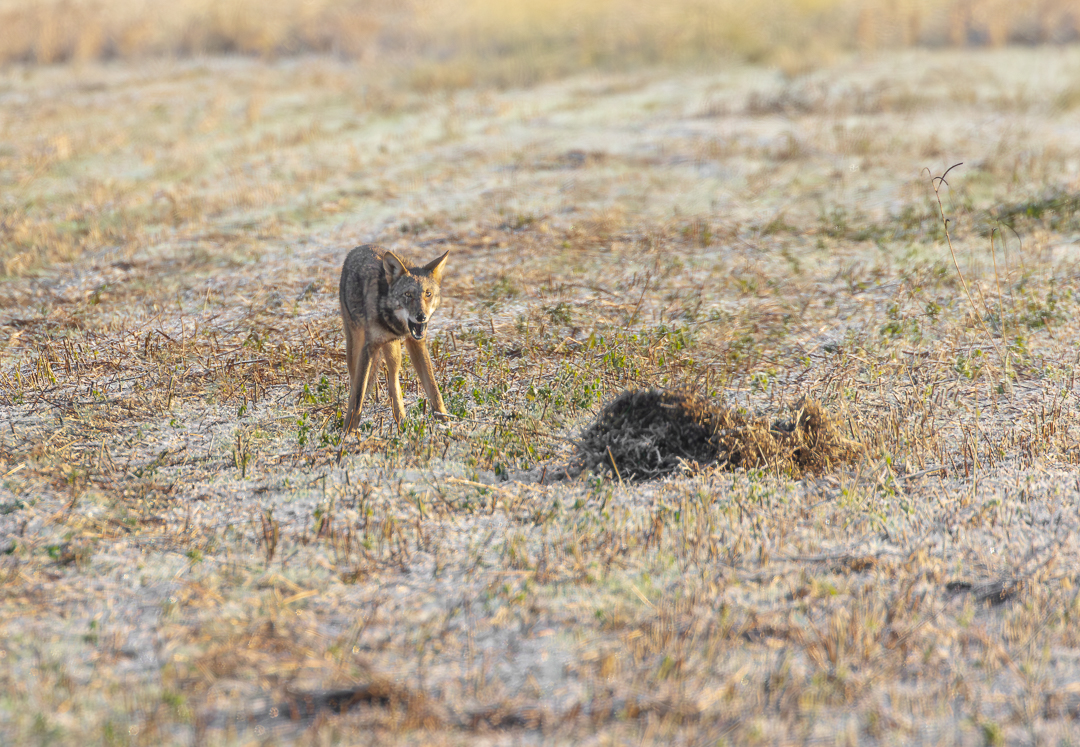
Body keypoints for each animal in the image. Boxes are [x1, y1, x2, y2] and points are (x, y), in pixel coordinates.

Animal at [338, 244, 450, 433]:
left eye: (427, 294)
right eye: (407, 294)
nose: (421, 316)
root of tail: (359, 247)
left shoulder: (417, 343)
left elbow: (433, 389)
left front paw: (446, 422)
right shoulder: (369, 348)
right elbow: (359, 396)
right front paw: (348, 433)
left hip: (394, 354)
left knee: (393, 383)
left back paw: (402, 421)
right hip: (354, 348)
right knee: (354, 385)